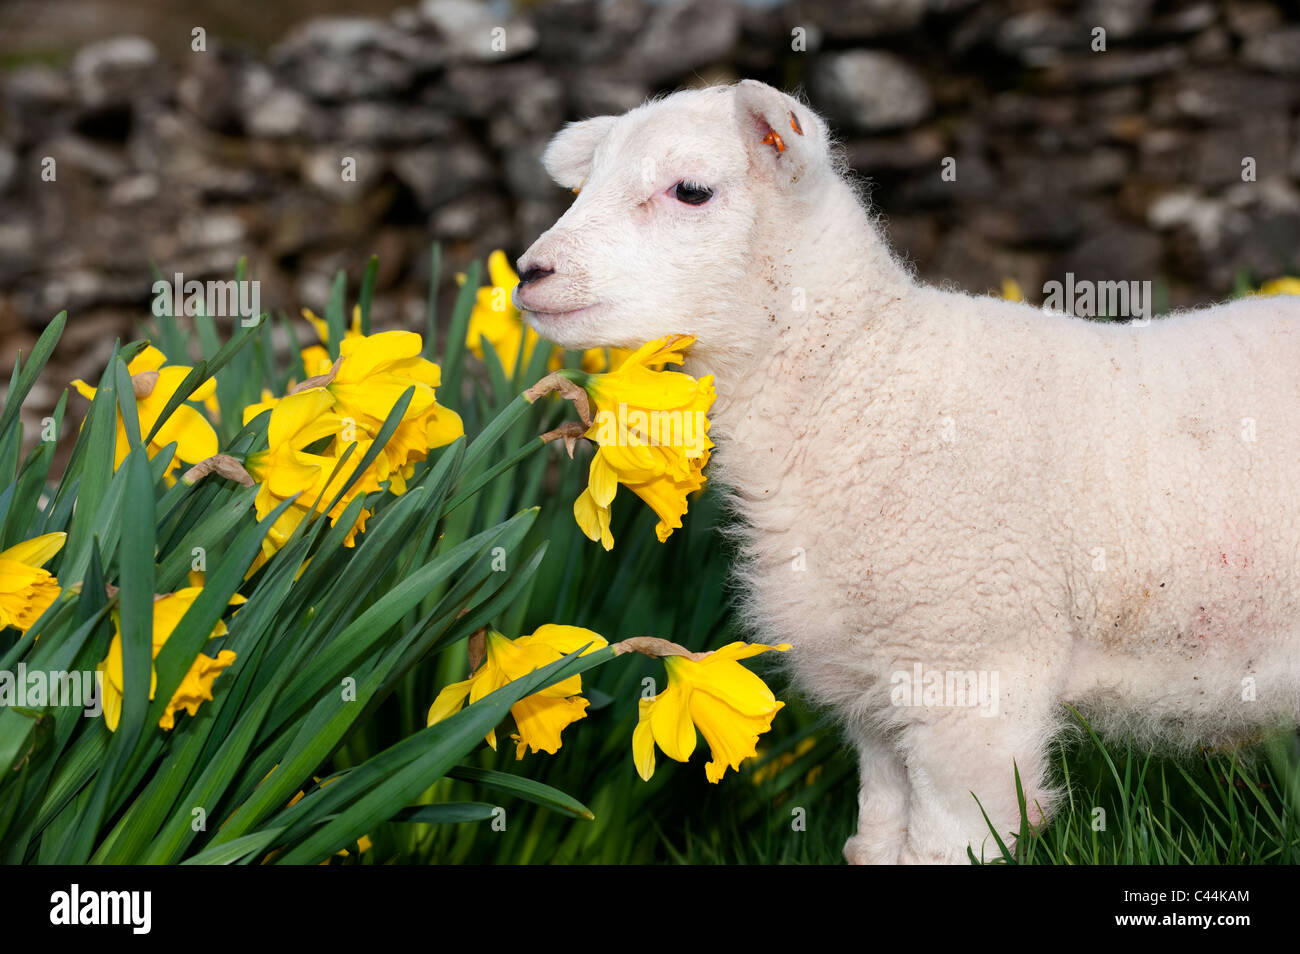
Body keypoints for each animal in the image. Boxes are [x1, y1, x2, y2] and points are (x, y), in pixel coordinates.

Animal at [512, 80, 1300, 864]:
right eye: (587, 183)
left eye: (691, 191)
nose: (529, 274)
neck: (865, 381)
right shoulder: (878, 698)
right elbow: (878, 840)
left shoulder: (973, 674)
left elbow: (947, 843)